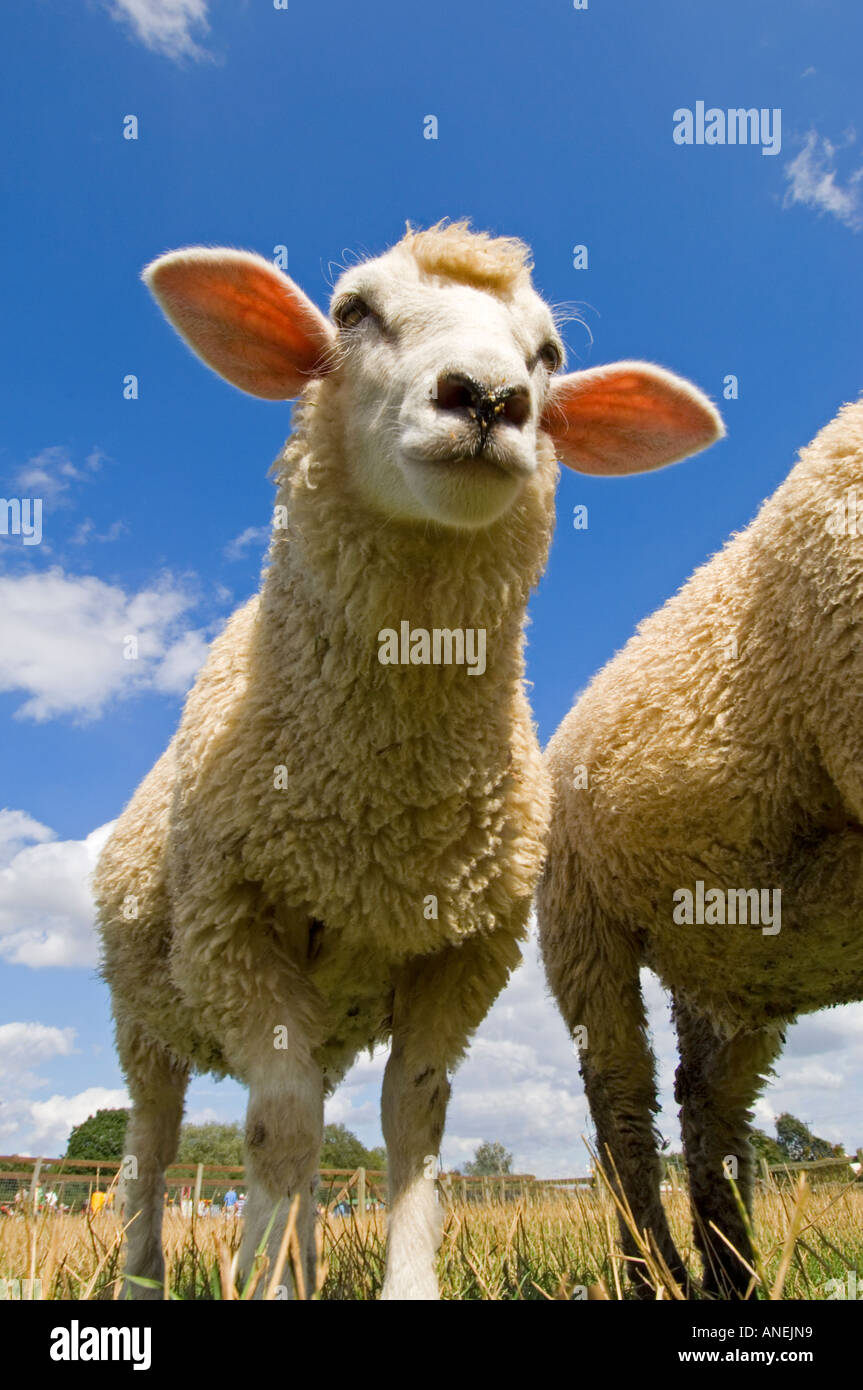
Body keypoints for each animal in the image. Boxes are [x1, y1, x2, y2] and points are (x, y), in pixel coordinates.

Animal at [93, 220, 722, 1300]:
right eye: (351, 311)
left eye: (548, 352)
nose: (489, 399)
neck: (379, 818)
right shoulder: (231, 927)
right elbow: (277, 1124)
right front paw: (261, 1285)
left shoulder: (461, 953)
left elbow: (411, 1120)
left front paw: (393, 1281)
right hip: (146, 1017)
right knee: (152, 1149)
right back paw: (145, 1277)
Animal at [537, 395, 863, 1297]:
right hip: (581, 926)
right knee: (624, 1108)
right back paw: (649, 1269)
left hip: (733, 953)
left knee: (706, 1104)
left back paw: (730, 1269)